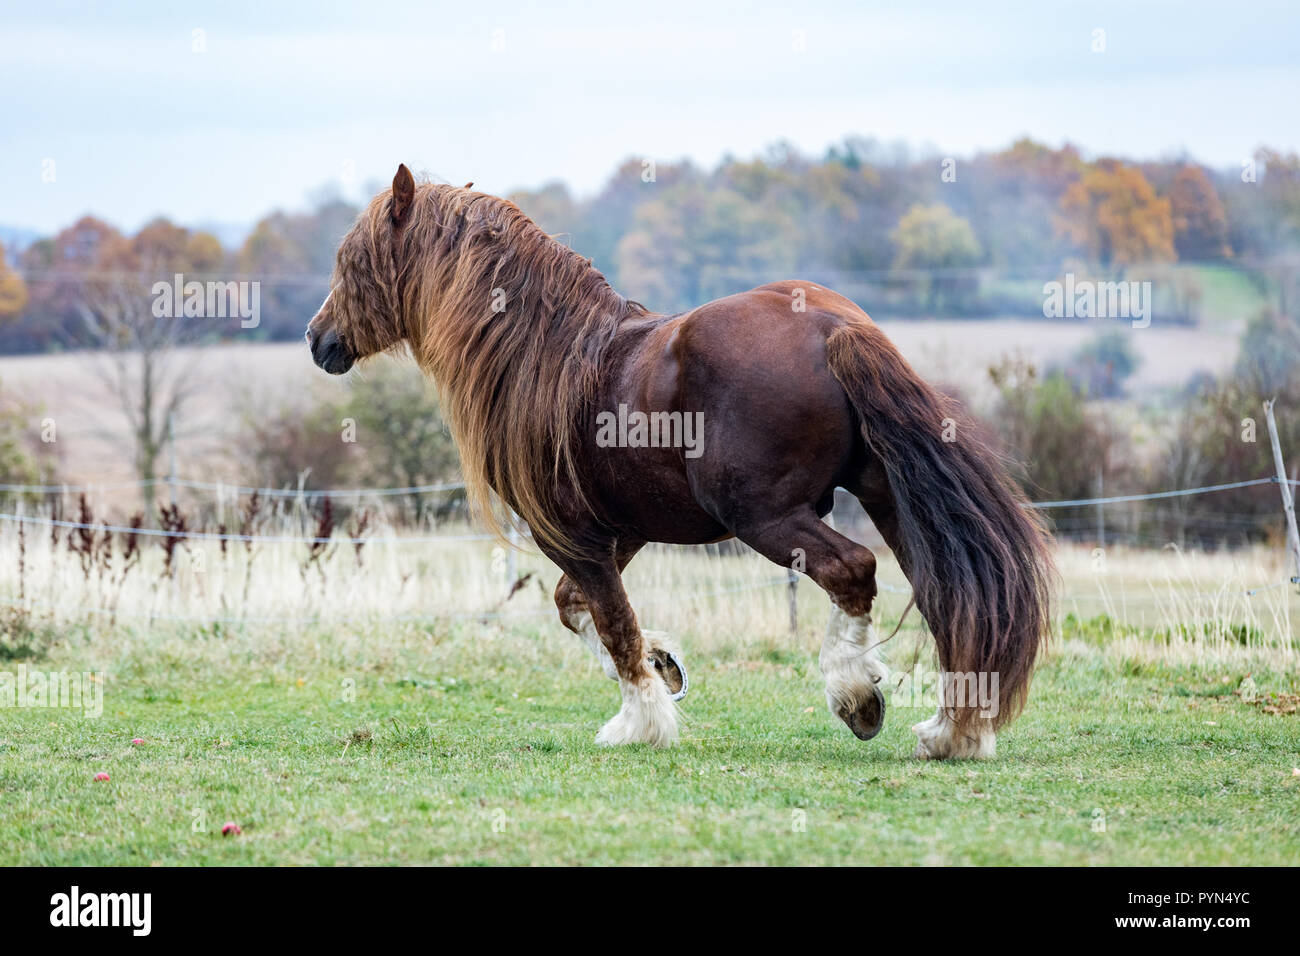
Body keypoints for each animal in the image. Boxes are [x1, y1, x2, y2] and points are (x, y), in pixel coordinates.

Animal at [307, 164, 1054, 758]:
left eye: (354, 259)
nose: (318, 340)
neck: (544, 354)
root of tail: (833, 327)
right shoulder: (623, 530)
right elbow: (579, 609)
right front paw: (666, 666)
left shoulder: (574, 536)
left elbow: (611, 620)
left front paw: (641, 719)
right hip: (884, 495)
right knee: (946, 593)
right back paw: (950, 731)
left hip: (766, 516)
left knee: (852, 570)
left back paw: (856, 697)